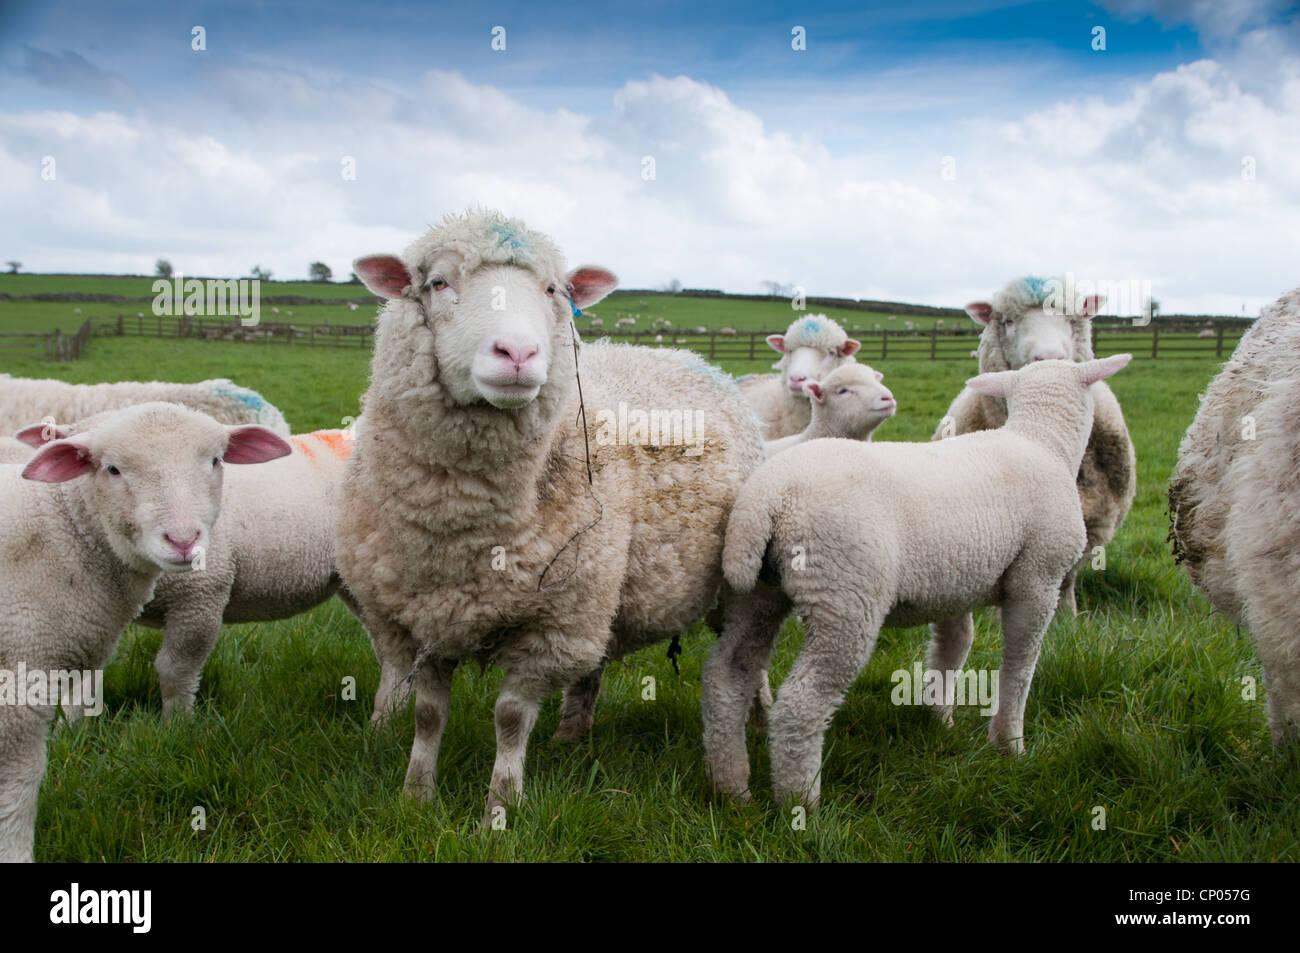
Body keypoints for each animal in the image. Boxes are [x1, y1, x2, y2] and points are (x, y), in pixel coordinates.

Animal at [0, 402, 290, 862]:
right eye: (113, 469)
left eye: (215, 460)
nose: (184, 540)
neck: (59, 532)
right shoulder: (19, 679)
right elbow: (19, 787)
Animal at [15, 422, 357, 718]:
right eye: (109, 469)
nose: (182, 540)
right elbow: (83, 679)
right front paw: (71, 728)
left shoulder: (201, 597)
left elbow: (175, 671)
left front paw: (176, 725)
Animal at [338, 209, 768, 819]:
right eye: (438, 282)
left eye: (551, 290)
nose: (517, 354)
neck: (462, 526)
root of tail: (692, 358)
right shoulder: (416, 622)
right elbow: (427, 715)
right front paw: (416, 796)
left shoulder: (552, 626)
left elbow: (510, 718)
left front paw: (500, 808)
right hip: (600, 594)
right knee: (593, 667)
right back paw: (571, 738)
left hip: (723, 585)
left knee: (750, 662)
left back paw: (757, 723)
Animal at [933, 276, 1135, 614]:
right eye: (1009, 321)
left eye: (1072, 320)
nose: (1049, 358)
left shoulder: (1091, 519)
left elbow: (1067, 576)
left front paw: (1068, 615)